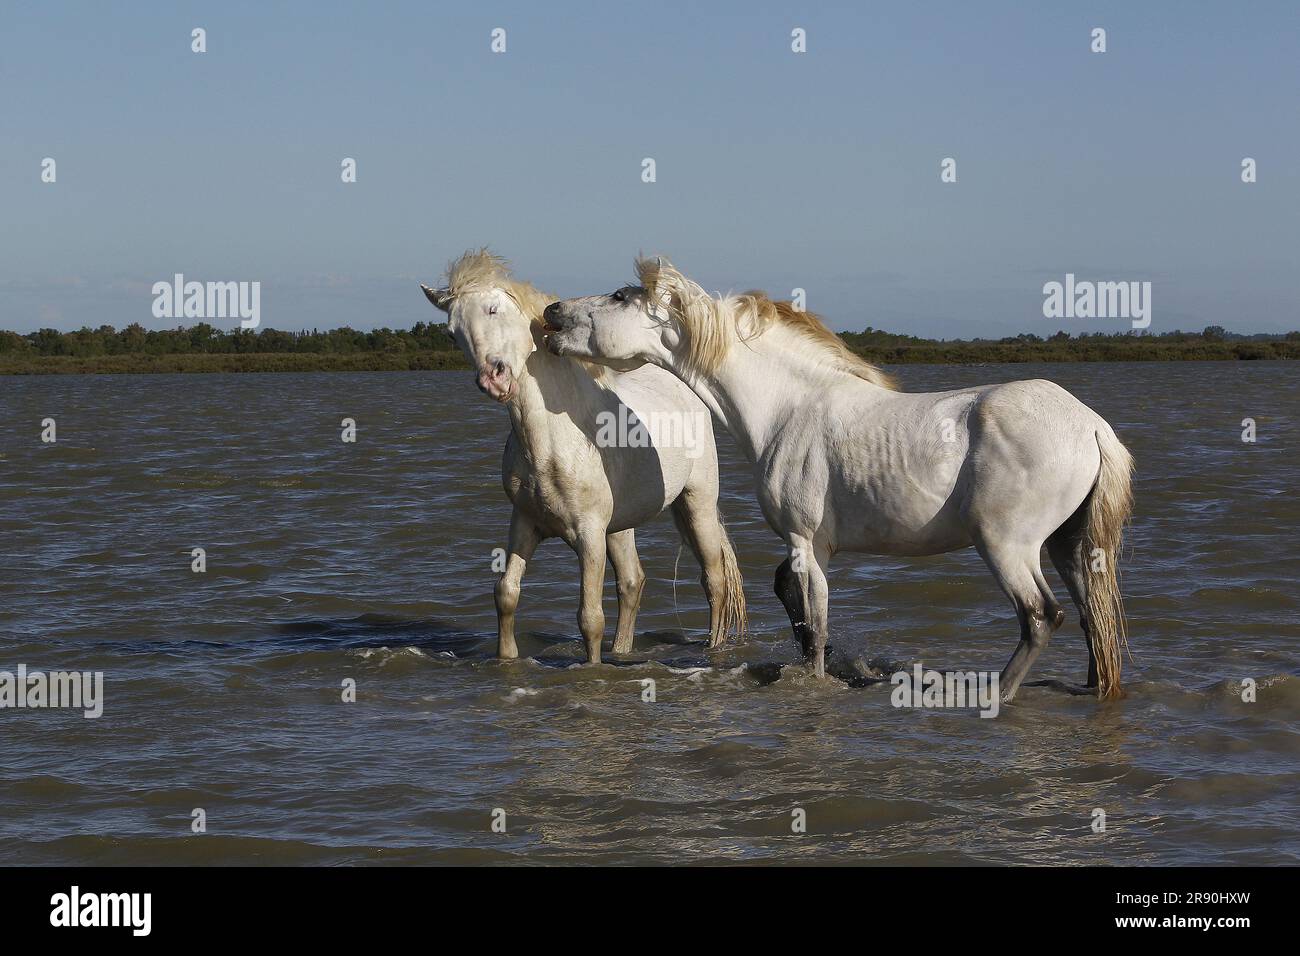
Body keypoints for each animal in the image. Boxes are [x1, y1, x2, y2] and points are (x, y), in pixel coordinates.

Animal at [421, 250, 745, 664]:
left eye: (493, 309)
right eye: (452, 332)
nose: (493, 379)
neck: (551, 443)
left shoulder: (590, 536)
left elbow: (590, 618)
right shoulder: (524, 523)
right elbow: (506, 594)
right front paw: (506, 658)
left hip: (696, 504)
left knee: (713, 580)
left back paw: (713, 647)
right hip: (621, 526)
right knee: (632, 582)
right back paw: (622, 651)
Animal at [542, 257, 1134, 700]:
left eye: (620, 295)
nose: (552, 315)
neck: (788, 406)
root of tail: (1090, 425)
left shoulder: (806, 542)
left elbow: (816, 618)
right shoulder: (810, 547)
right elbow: (791, 598)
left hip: (1007, 545)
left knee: (1042, 617)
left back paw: (997, 695)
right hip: (1066, 544)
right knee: (1092, 617)